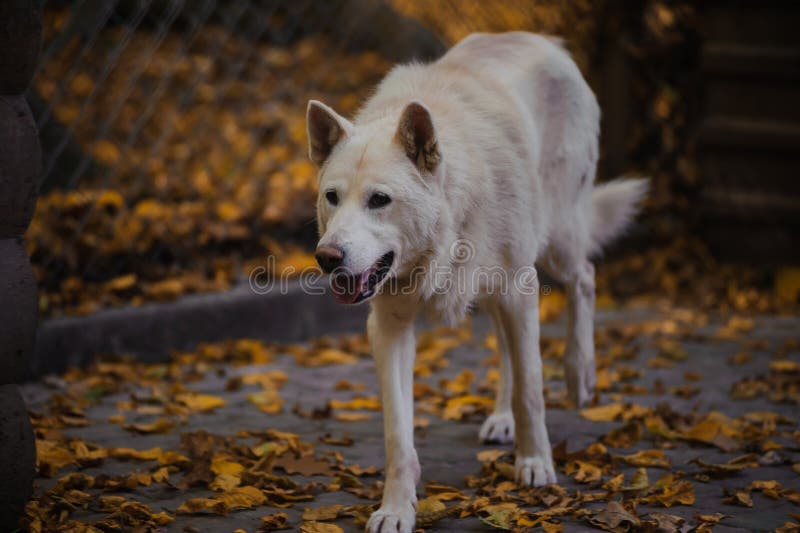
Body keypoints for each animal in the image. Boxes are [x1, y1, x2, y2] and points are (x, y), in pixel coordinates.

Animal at [306, 32, 647, 533]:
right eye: (332, 197)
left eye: (379, 200)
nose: (327, 258)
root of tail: (545, 41)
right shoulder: (389, 327)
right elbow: (397, 436)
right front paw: (396, 509)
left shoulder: (521, 290)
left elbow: (532, 389)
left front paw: (535, 465)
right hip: (494, 292)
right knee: (506, 348)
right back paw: (502, 420)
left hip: (556, 242)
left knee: (584, 278)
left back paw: (579, 374)